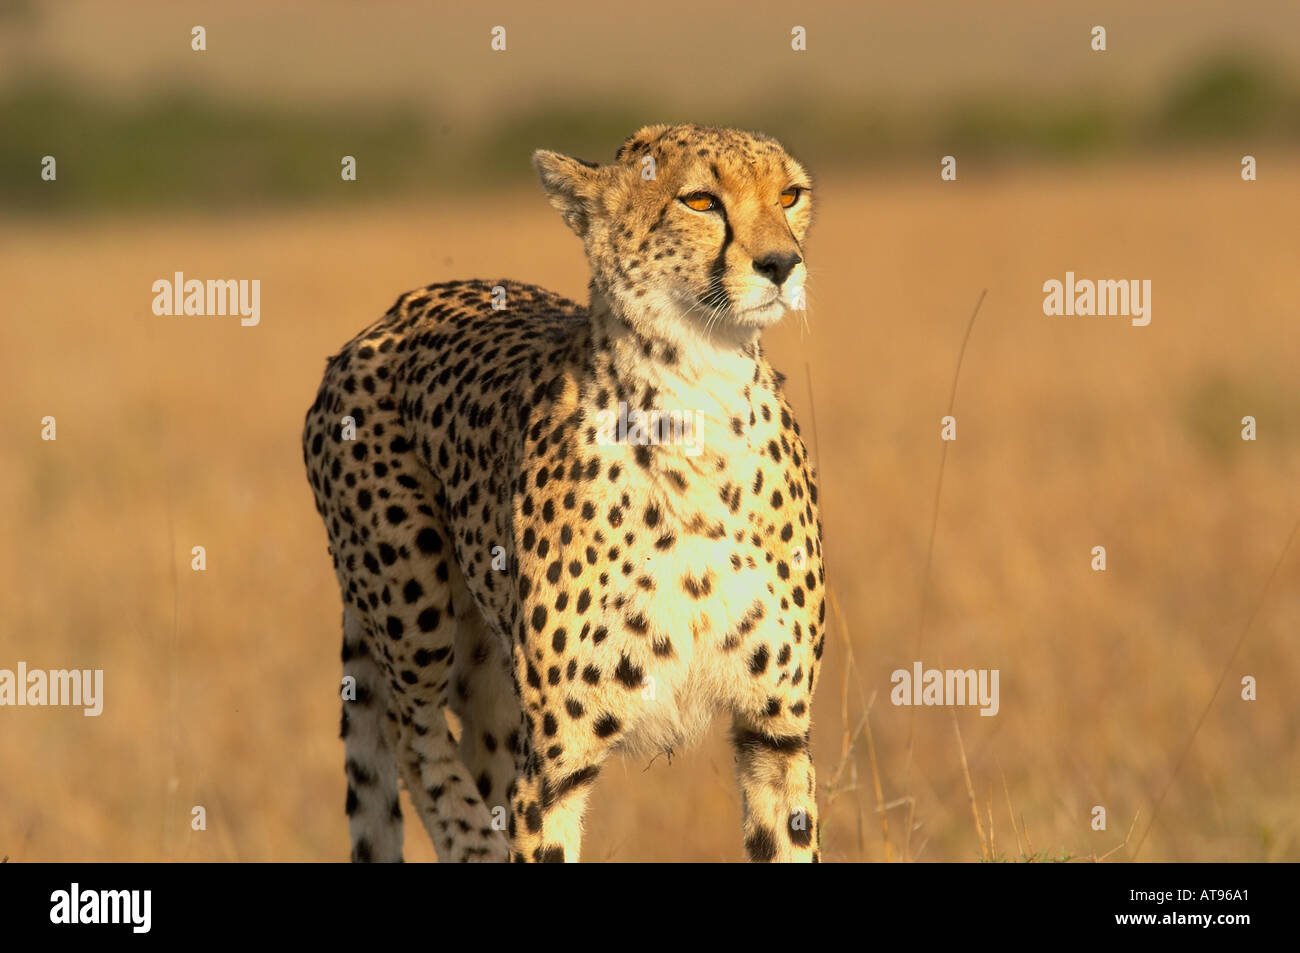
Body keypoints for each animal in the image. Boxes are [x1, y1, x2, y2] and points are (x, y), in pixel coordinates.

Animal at [302, 123, 826, 863]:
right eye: (700, 200)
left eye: (790, 195)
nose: (782, 263)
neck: (701, 396)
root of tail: (390, 314)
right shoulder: (558, 758)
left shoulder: (774, 728)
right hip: (411, 610)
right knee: (411, 732)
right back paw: (472, 841)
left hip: (488, 673)